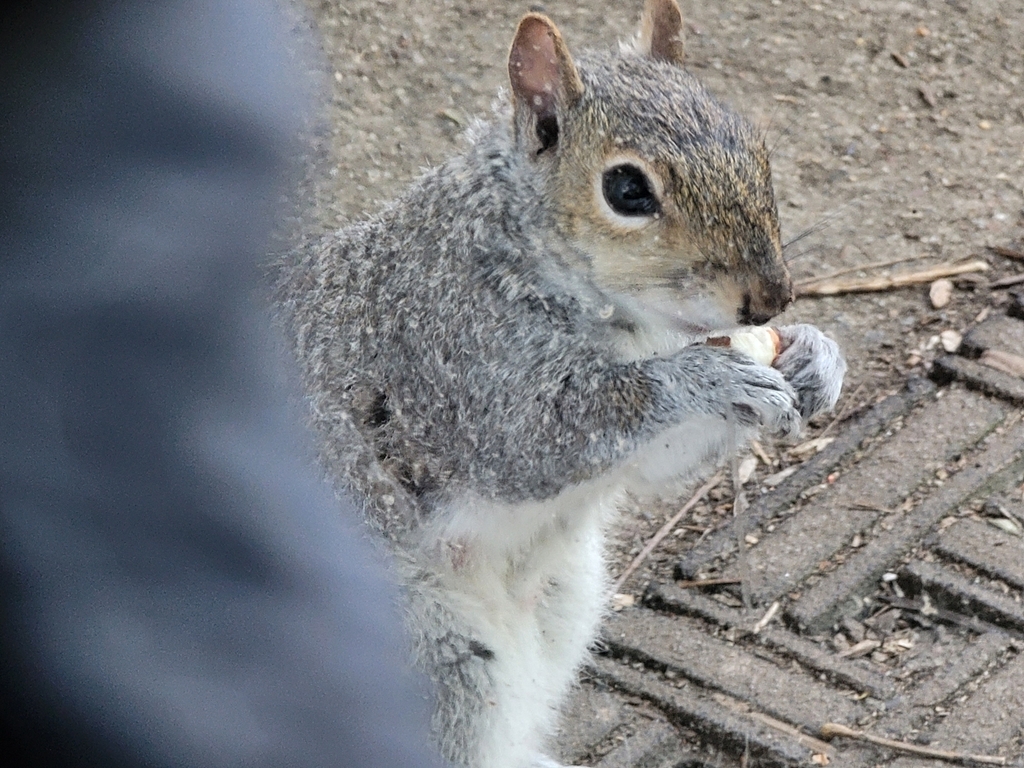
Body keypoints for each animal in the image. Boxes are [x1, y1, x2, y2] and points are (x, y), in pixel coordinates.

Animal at [275, 1, 845, 766]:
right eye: (628, 189)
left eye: (755, 146)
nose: (771, 299)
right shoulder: (455, 361)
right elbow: (539, 441)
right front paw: (702, 377)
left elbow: (659, 460)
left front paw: (818, 357)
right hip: (430, 658)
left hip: (563, 599)